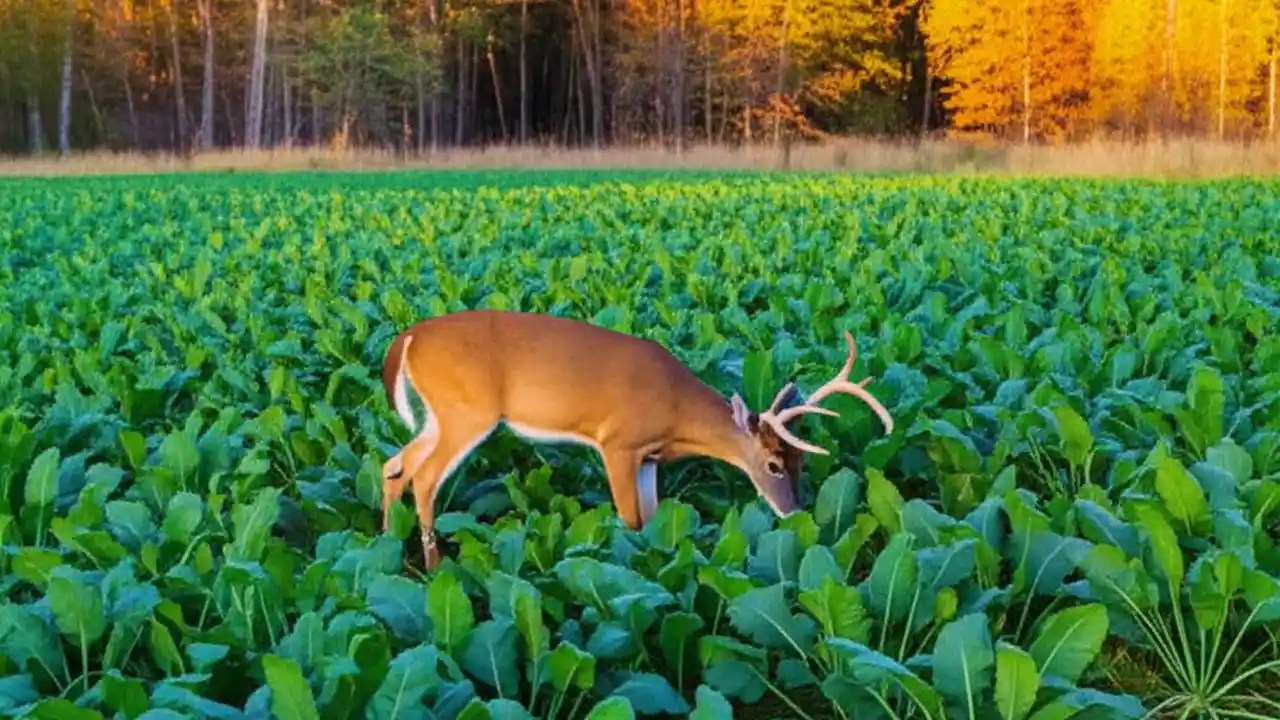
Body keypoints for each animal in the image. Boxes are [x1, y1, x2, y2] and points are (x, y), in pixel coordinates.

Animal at [378, 310, 894, 568]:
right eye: (772, 463)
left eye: (801, 462)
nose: (794, 512)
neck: (675, 414)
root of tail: (406, 338)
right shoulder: (618, 444)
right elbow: (629, 520)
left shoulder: (649, 458)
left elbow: (650, 519)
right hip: (467, 411)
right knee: (424, 478)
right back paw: (433, 566)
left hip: (440, 414)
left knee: (394, 465)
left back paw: (384, 545)